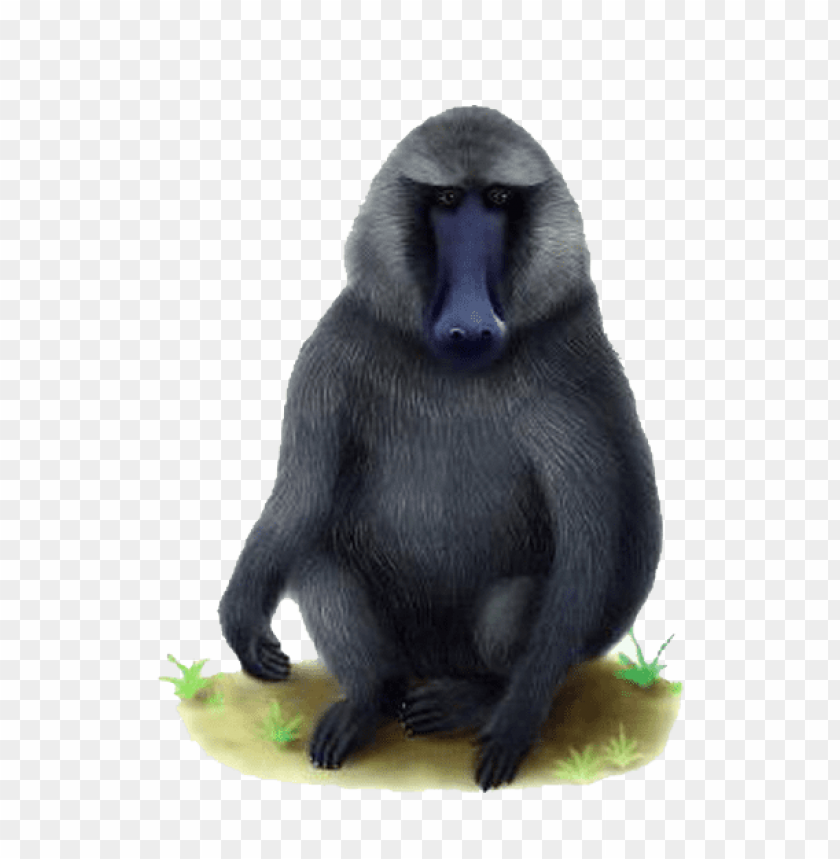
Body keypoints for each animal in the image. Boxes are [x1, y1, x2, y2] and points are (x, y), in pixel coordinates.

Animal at [218, 106, 662, 791]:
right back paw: (372, 696)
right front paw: (242, 620)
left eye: (499, 199)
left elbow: (591, 551)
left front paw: (515, 721)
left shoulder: (571, 373)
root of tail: (433, 662)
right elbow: (303, 493)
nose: (469, 328)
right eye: (448, 200)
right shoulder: (334, 348)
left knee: (518, 605)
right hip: (406, 642)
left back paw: (477, 697)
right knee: (317, 560)